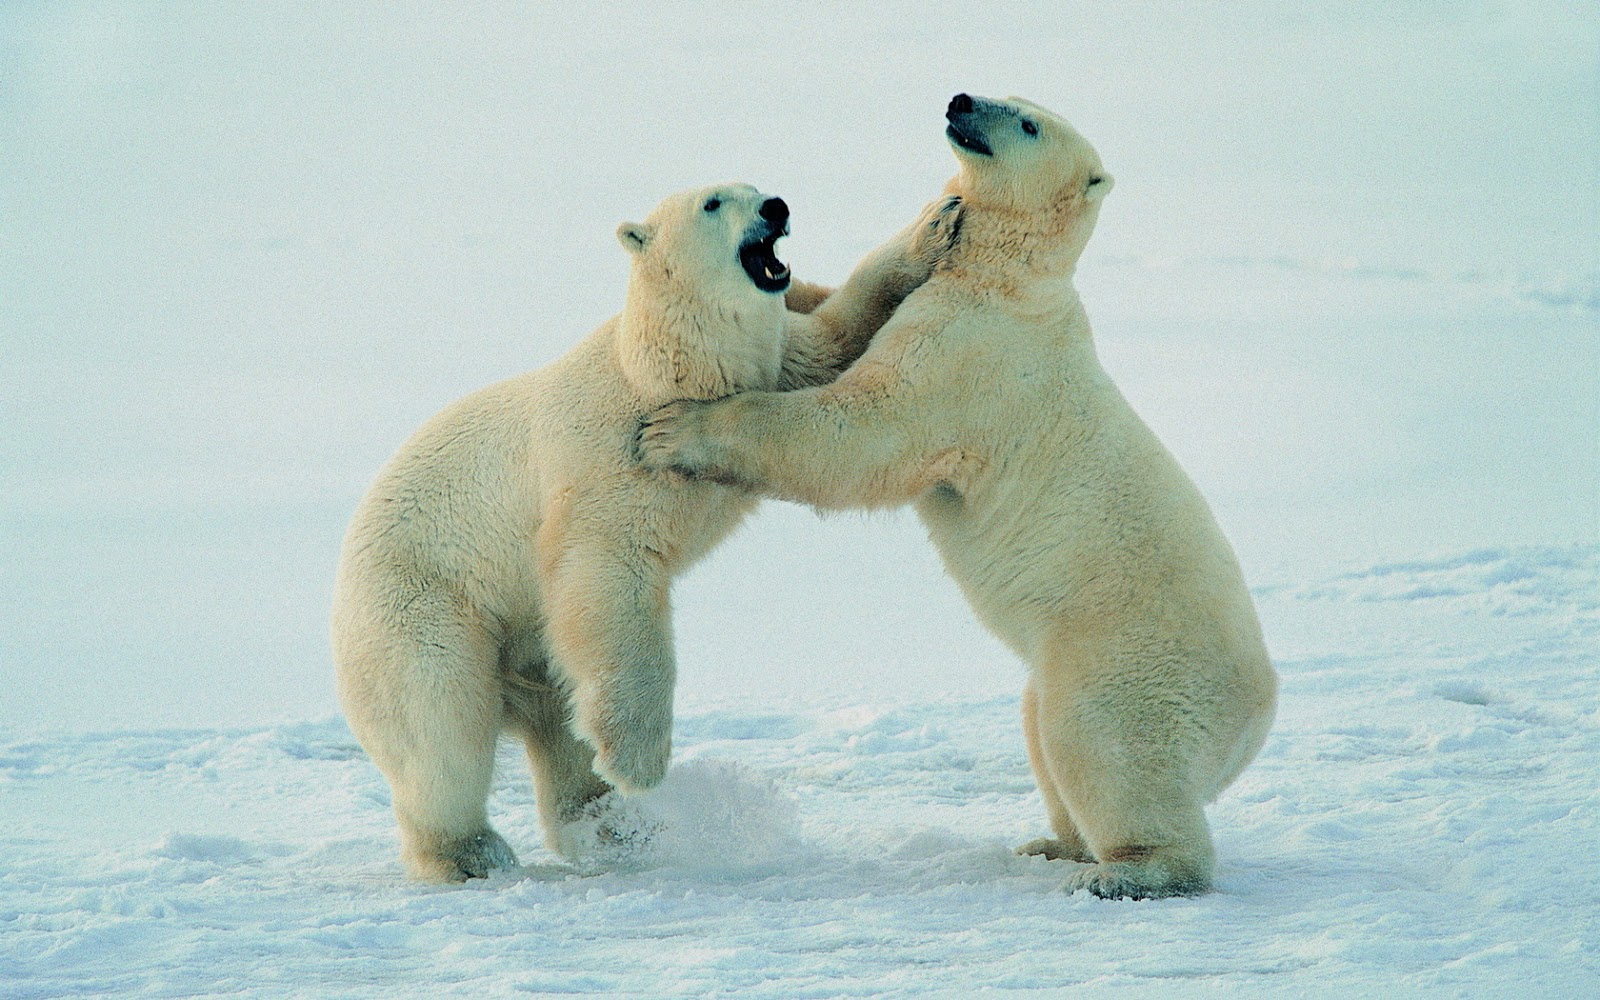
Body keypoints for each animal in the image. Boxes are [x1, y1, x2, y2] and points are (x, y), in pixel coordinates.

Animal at [332, 182, 962, 881]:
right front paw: (638, 764)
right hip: (424, 606)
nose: (775, 206)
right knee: (442, 727)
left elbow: (831, 341)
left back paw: (610, 826)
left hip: (532, 649)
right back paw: (471, 852)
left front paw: (935, 228)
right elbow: (610, 576)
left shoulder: (776, 366)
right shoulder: (608, 463)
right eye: (714, 202)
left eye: (756, 186)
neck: (662, 370)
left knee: (562, 724)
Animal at [635, 95, 1278, 899]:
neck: (1010, 281)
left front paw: (676, 429)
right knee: (1043, 733)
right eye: (1005, 96)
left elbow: (863, 431)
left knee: (1102, 744)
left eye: (1028, 123)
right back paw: (1055, 843)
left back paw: (1128, 870)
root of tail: (1256, 718)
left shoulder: (968, 356)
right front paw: (923, 226)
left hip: (1129, 658)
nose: (961, 101)